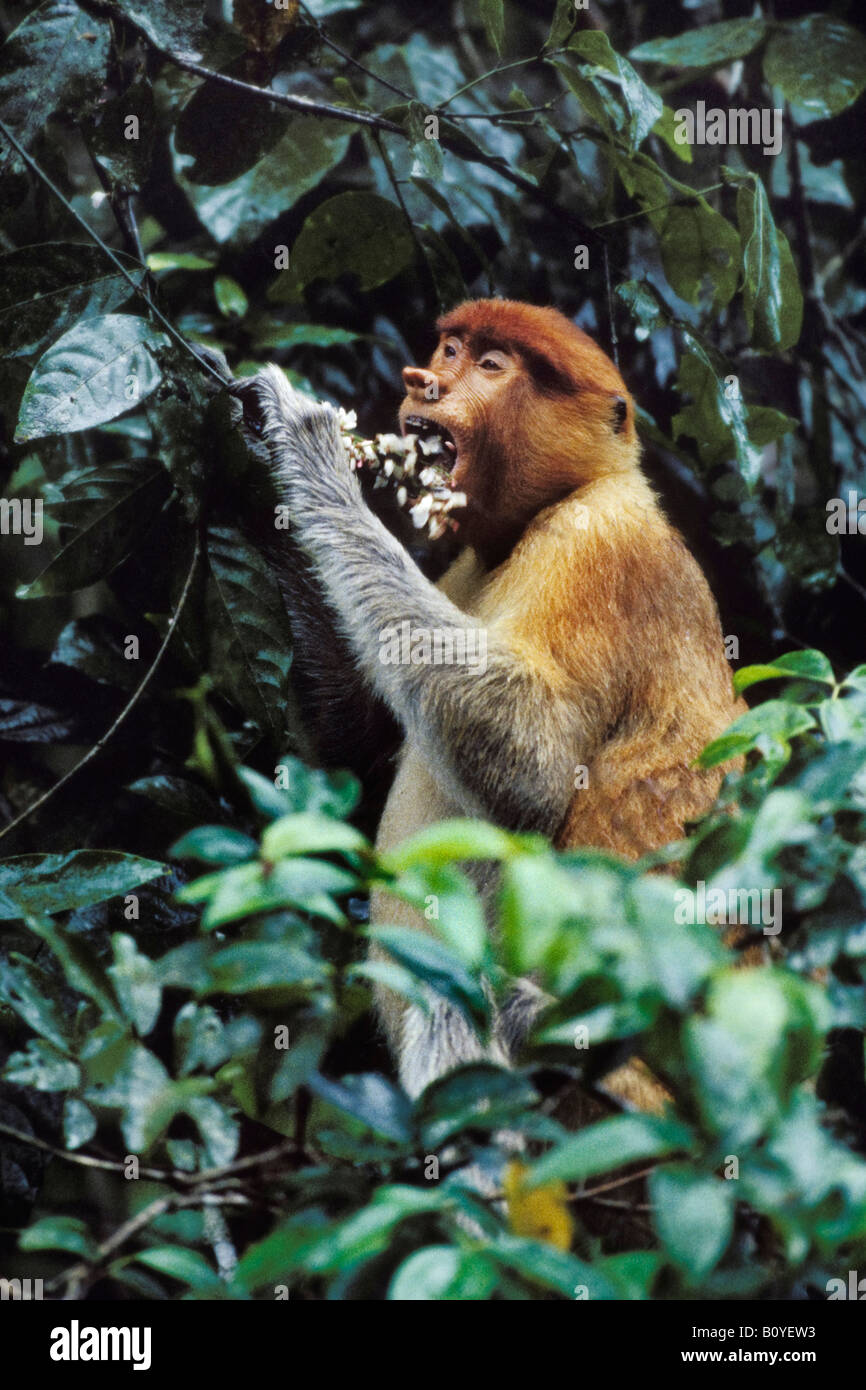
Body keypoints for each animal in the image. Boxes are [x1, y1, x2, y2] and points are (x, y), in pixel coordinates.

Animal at [231, 299, 746, 1107]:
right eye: (449, 348)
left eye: (492, 365)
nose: (423, 380)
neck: (542, 512)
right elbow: (365, 744)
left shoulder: (596, 546)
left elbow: (534, 769)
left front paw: (306, 443)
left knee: (467, 1004)